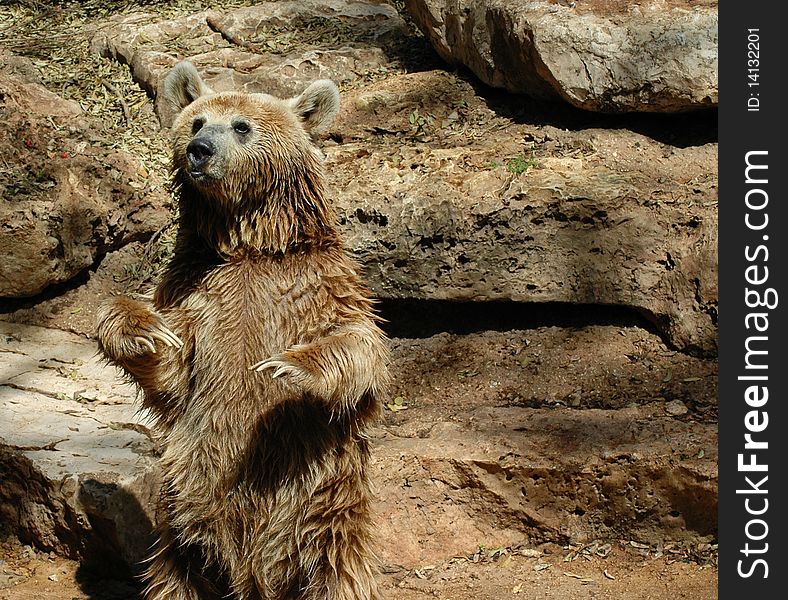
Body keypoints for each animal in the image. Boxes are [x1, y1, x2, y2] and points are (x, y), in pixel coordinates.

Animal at [97, 62, 390, 600]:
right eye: (196, 121)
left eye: (241, 126)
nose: (200, 149)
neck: (250, 244)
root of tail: (250, 569)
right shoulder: (197, 292)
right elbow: (173, 367)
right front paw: (142, 331)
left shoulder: (318, 285)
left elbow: (359, 347)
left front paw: (287, 367)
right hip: (182, 516)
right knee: (174, 573)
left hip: (323, 507)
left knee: (337, 573)